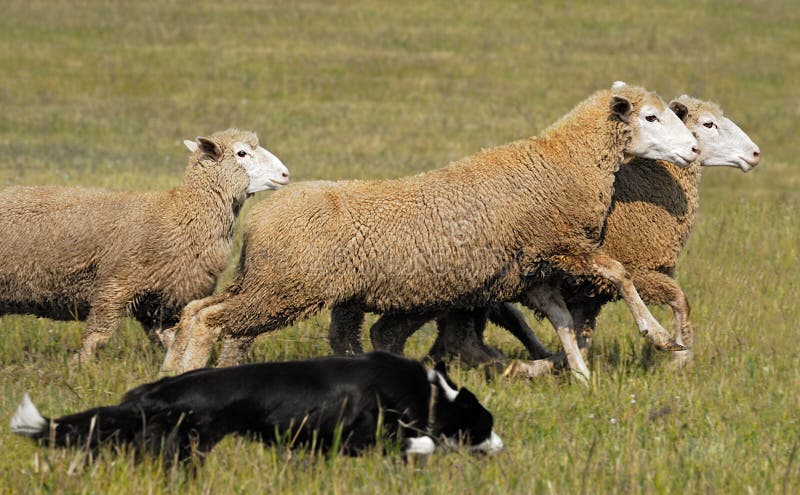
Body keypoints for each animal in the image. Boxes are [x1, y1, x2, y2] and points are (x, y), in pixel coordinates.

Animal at [0, 128, 289, 362]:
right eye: (241, 153)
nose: (286, 174)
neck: (179, 214)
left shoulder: (160, 304)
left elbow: (173, 342)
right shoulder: (116, 286)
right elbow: (97, 340)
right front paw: (78, 370)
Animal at [161, 82, 698, 374]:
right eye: (651, 117)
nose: (693, 149)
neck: (562, 163)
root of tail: (260, 218)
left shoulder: (537, 264)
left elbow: (564, 319)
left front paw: (580, 373)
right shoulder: (563, 244)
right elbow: (620, 274)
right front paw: (658, 336)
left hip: (266, 283)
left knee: (196, 310)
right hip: (285, 289)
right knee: (212, 321)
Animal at [356, 96, 759, 378]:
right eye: (708, 123)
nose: (755, 153)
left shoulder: (587, 293)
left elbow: (578, 335)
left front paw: (551, 365)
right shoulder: (634, 272)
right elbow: (679, 301)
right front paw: (677, 355)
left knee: (459, 336)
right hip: (438, 291)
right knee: (402, 333)